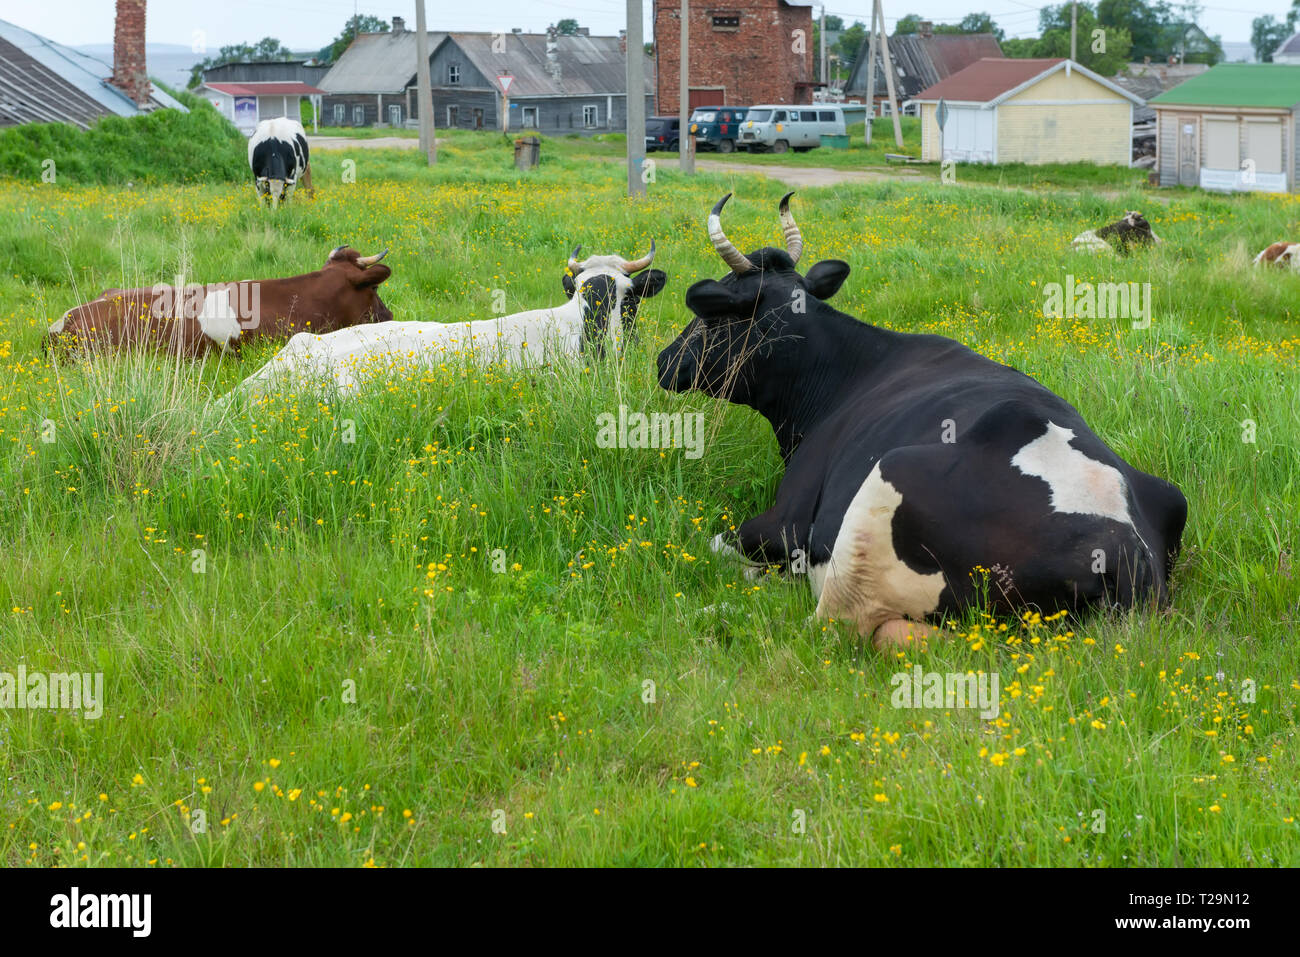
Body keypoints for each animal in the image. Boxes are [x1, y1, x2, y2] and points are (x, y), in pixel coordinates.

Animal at [657, 193, 1188, 650]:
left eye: (713, 311)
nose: (664, 361)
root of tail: (1123, 548)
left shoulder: (783, 521)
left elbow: (710, 539)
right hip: (1171, 495)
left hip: (879, 497)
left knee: (830, 625)